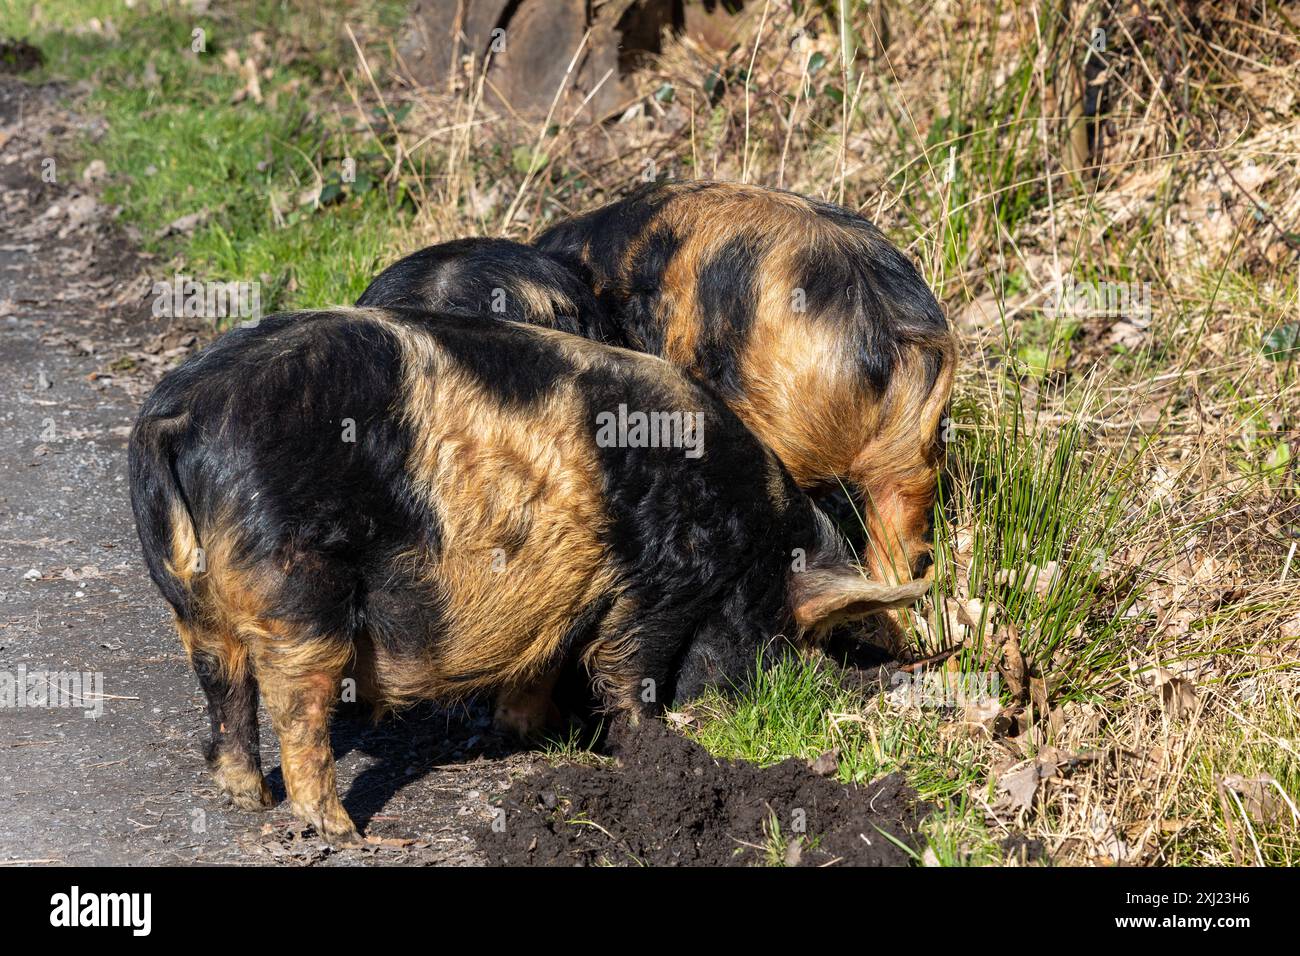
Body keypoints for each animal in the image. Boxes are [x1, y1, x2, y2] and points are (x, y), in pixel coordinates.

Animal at [128, 307, 928, 841]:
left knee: (223, 684)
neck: (747, 541)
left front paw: (529, 736)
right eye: (787, 638)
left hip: (189, 597)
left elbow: (541, 664)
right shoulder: (656, 587)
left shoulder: (568, 601)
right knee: (295, 706)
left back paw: (247, 799)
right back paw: (346, 832)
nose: (758, 712)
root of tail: (179, 417)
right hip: (298, 592)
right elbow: (627, 668)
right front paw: (654, 750)